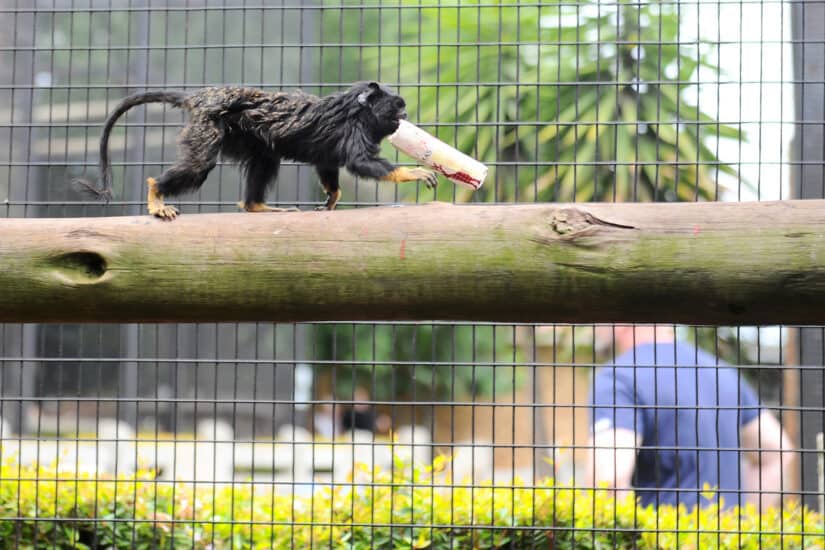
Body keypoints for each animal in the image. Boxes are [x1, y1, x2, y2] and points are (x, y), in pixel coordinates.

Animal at [73, 82, 438, 220]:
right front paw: (413, 172)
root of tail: (202, 98)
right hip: (209, 127)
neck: (358, 110)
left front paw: (332, 198)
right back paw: (155, 193)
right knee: (199, 165)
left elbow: (328, 164)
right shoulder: (354, 130)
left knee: (265, 157)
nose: (405, 116)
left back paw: (256, 206)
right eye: (396, 109)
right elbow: (361, 162)